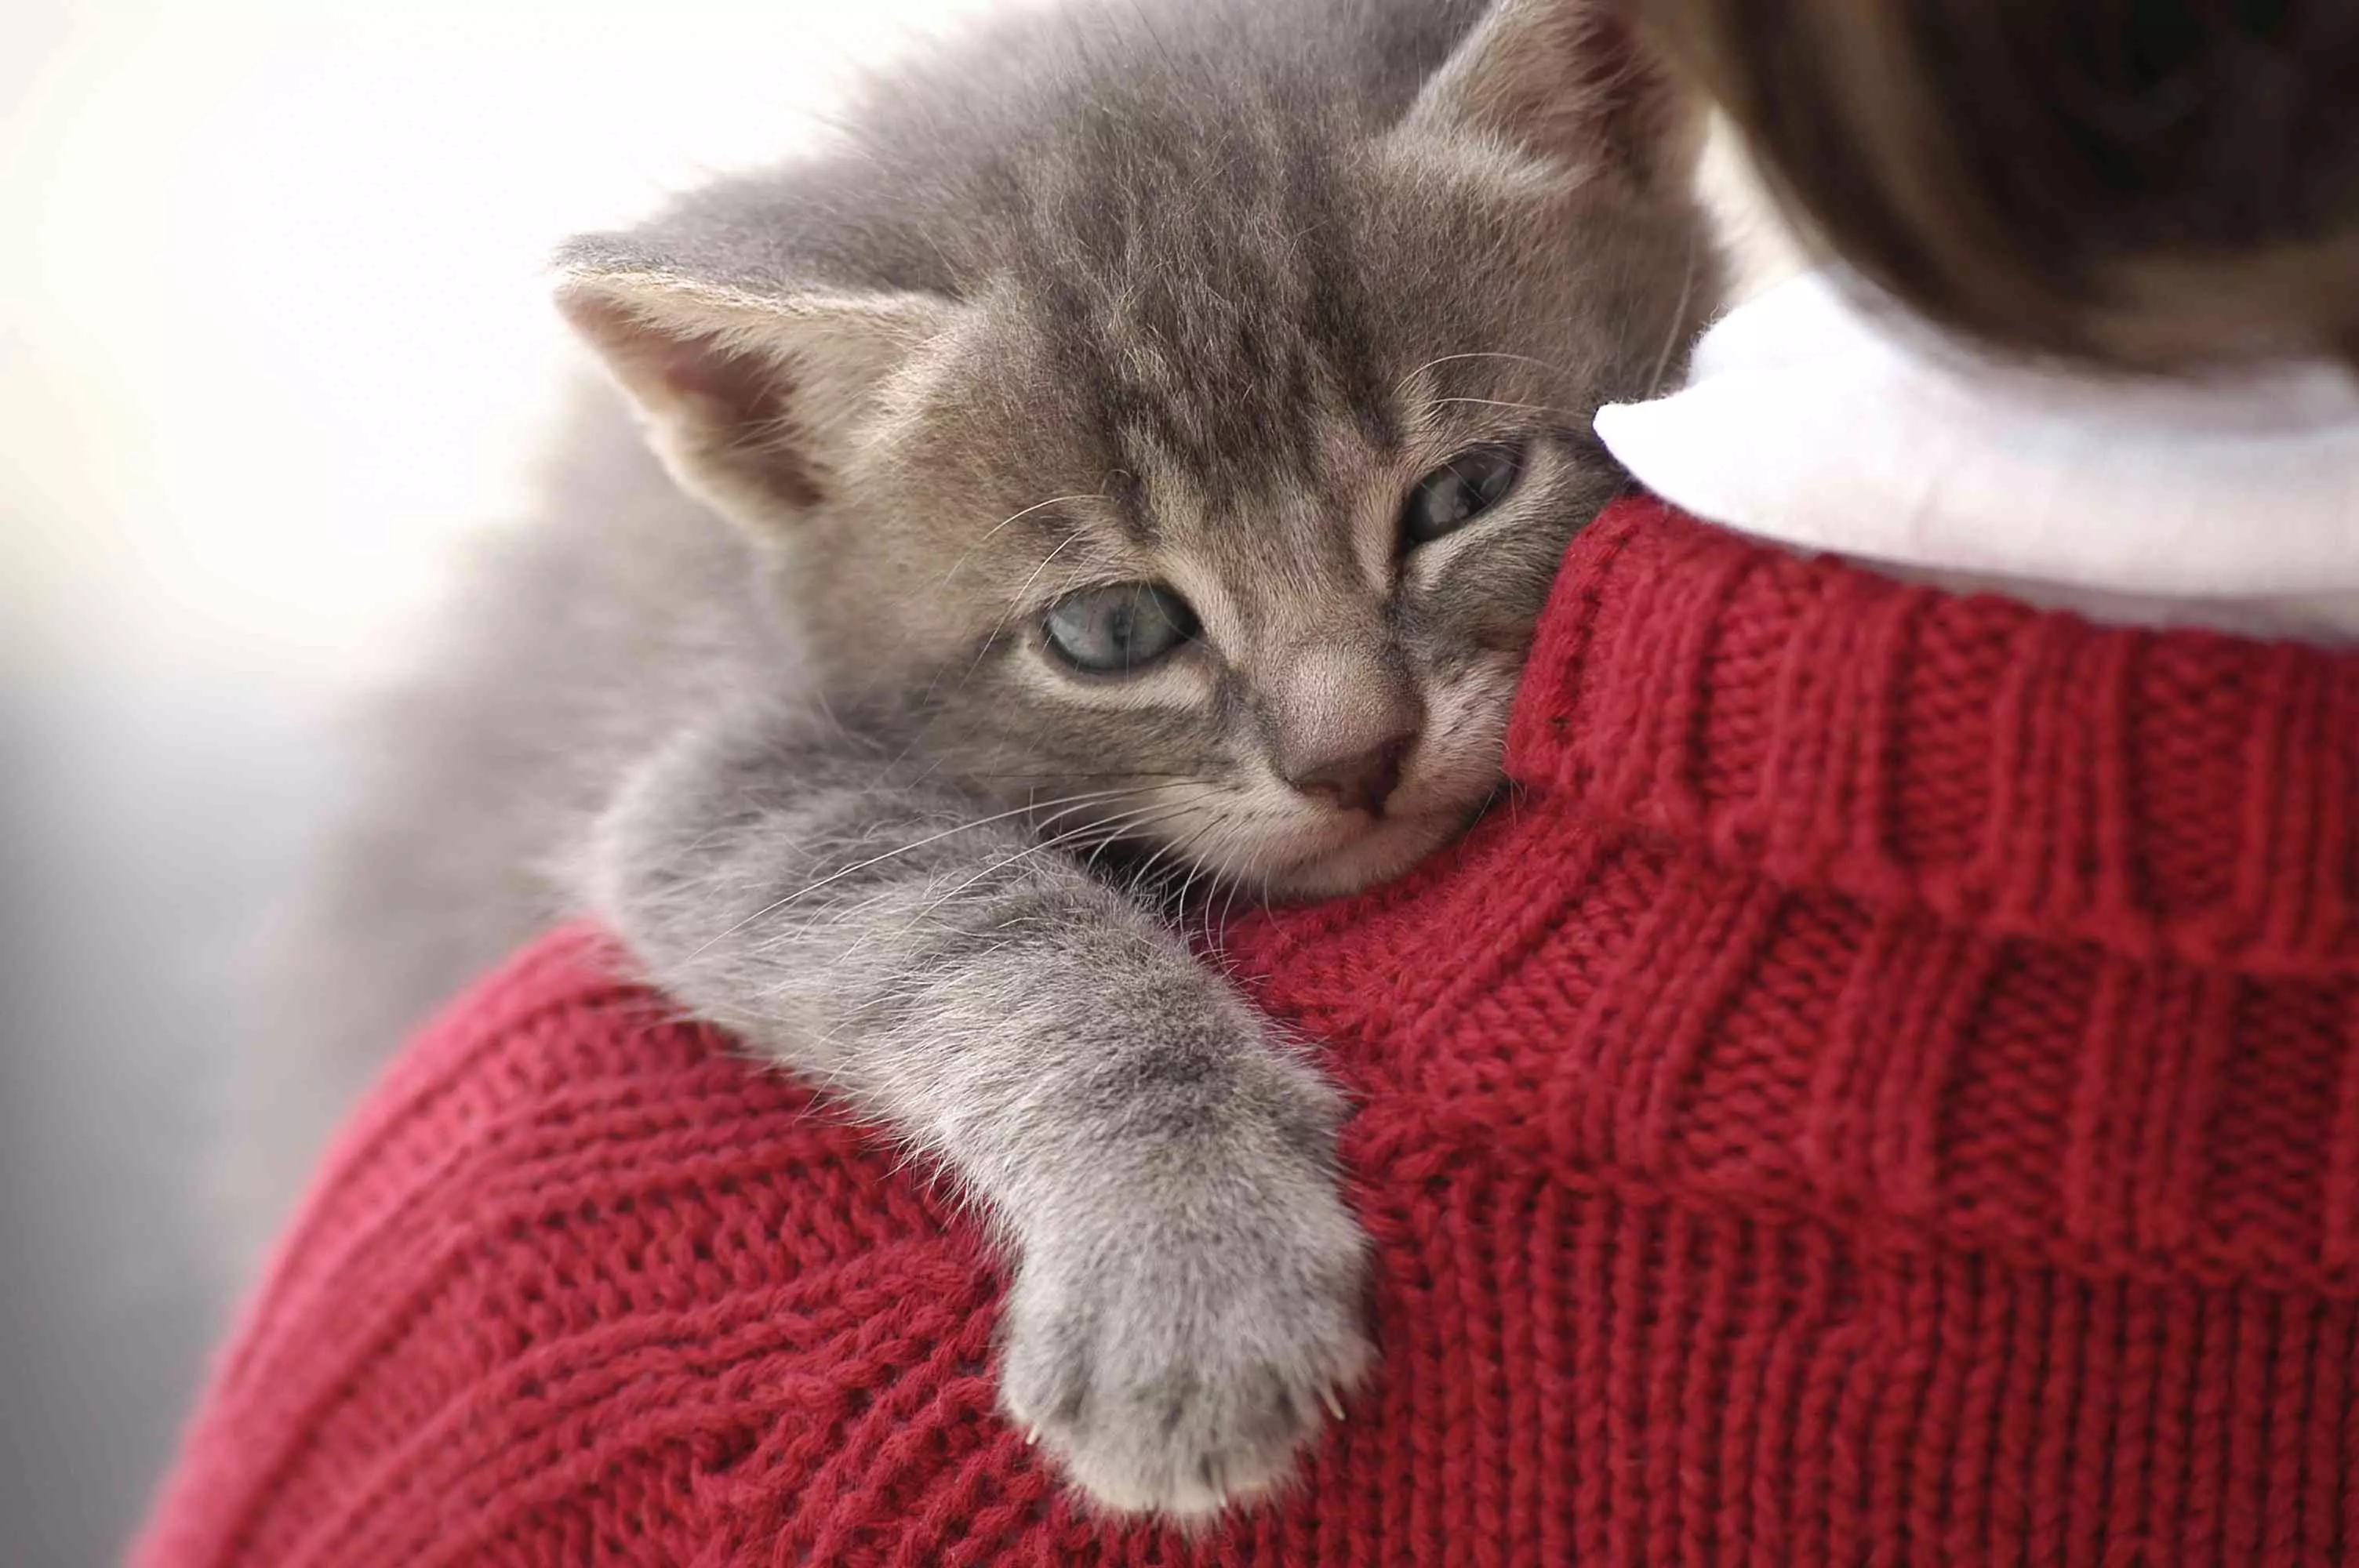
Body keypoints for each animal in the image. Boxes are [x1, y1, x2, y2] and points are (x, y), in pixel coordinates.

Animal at [271, 0, 1717, 1518]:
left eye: (1465, 494)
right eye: (1114, 630)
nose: (1356, 754)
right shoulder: (709, 764)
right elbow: (983, 931)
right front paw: (1188, 1258)